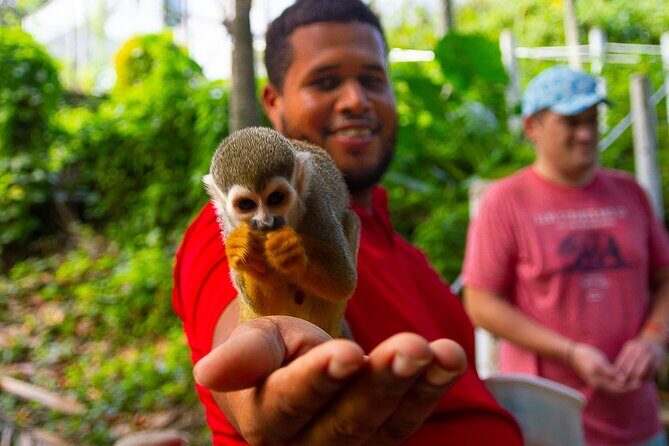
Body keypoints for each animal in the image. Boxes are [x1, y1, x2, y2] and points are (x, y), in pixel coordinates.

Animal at [203, 127, 360, 338]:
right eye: (246, 205)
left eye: (275, 198)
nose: (265, 222)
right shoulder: (227, 224)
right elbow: (267, 307)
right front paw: (245, 251)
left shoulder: (315, 198)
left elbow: (343, 280)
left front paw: (290, 252)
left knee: (351, 221)